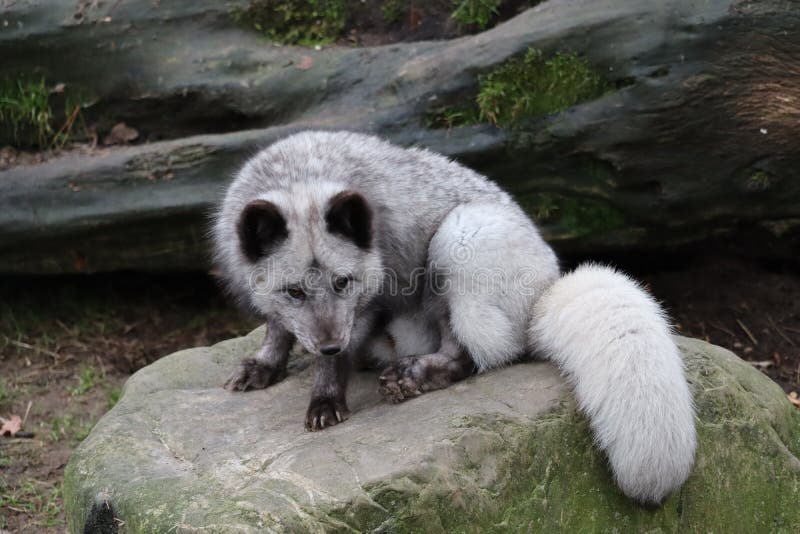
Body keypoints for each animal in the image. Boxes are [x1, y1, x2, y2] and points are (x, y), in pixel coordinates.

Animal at [212, 130, 696, 504]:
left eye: (343, 283)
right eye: (294, 291)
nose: (329, 344)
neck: (301, 179)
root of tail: (546, 288)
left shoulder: (370, 299)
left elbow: (338, 358)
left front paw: (326, 398)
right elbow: (277, 328)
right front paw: (265, 364)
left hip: (455, 241)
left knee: (477, 353)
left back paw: (415, 375)